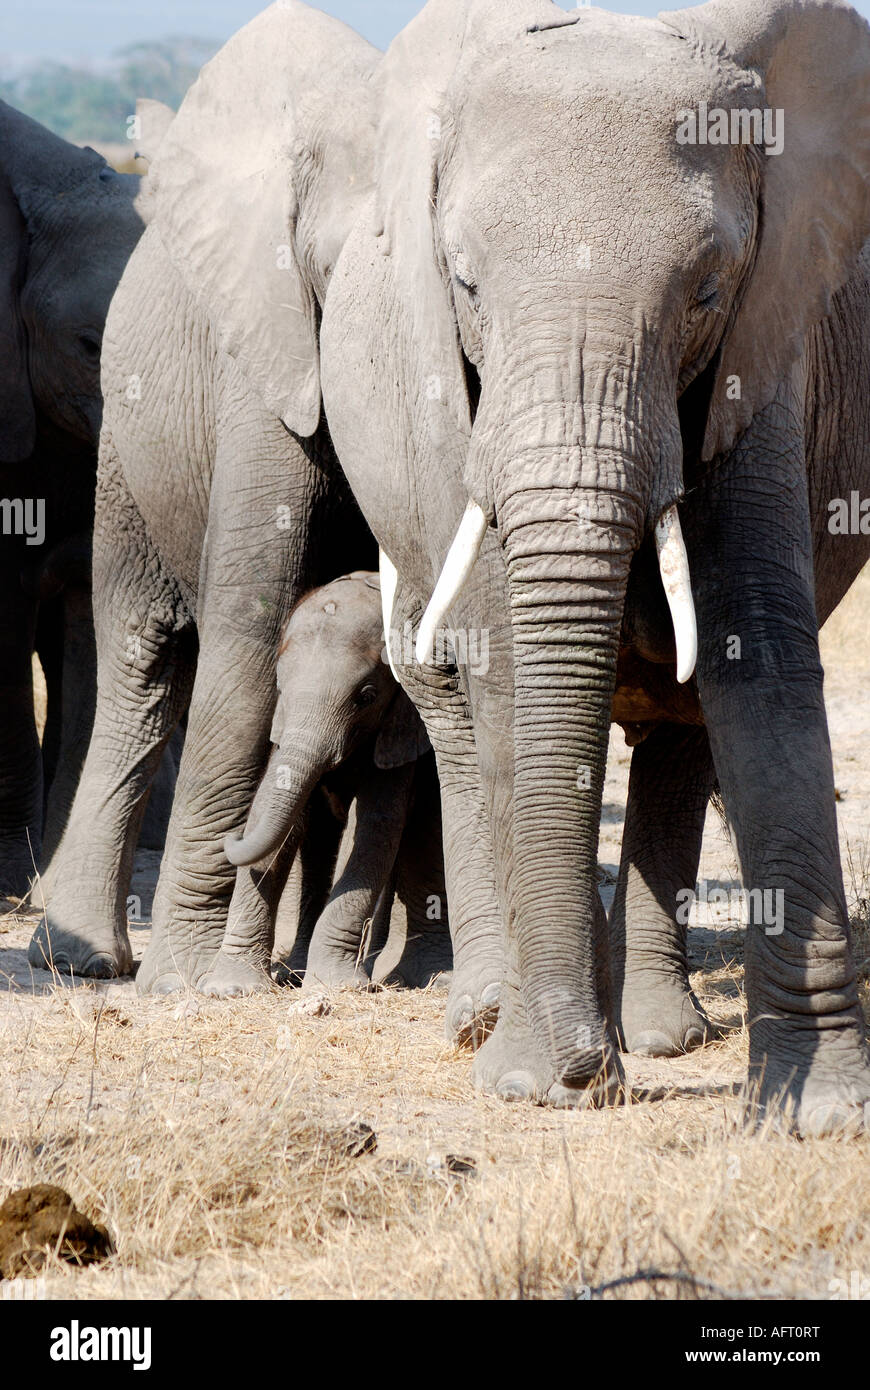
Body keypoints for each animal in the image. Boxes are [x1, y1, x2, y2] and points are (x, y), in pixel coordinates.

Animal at [28, 2, 379, 990]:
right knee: (142, 659)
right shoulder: (268, 357)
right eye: (338, 265)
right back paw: (84, 958)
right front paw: (190, 984)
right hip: (125, 446)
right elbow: (249, 620)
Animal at [204, 571, 452, 1003]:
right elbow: (279, 815)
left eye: (366, 697)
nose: (228, 839)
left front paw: (336, 985)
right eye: (279, 691)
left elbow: (375, 825)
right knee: (320, 839)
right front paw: (230, 989)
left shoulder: (401, 727)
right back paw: (296, 971)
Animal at [319, 0, 870, 1134]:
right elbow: (508, 671)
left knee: (682, 728)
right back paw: (489, 1016)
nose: (579, 1070)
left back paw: (657, 1035)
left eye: (706, 289)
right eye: (466, 283)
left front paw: (818, 1113)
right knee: (456, 719)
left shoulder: (770, 343)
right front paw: (535, 1078)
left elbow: (756, 640)